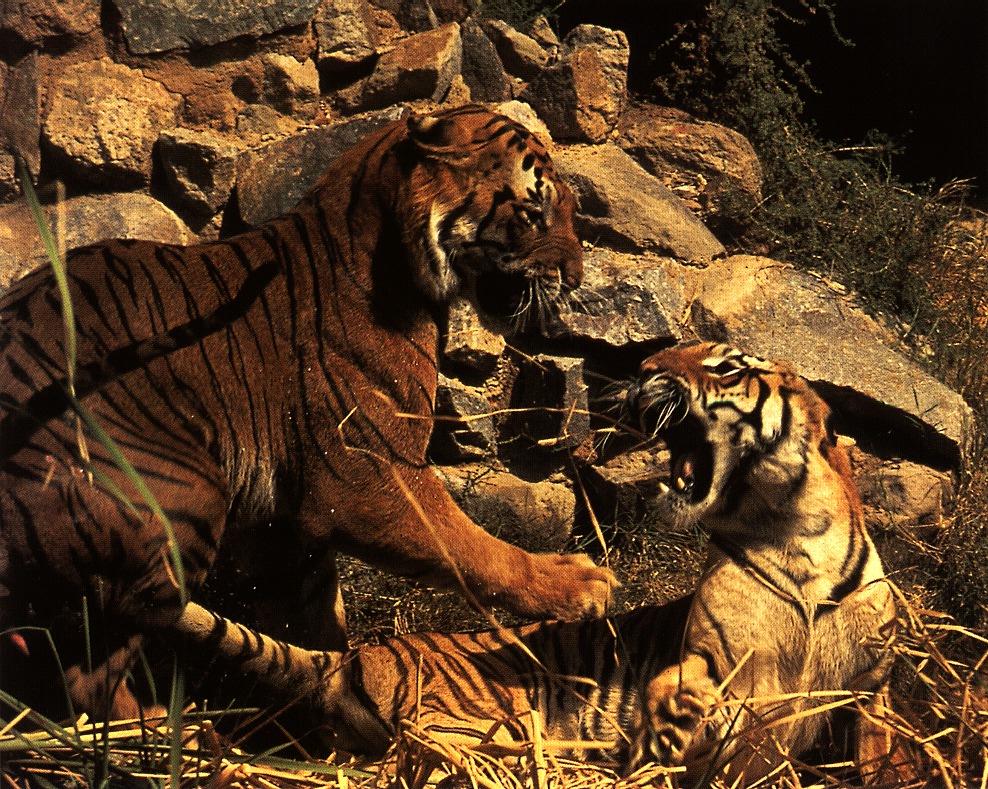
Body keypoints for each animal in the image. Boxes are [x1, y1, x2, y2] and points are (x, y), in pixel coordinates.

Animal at [0, 105, 616, 735]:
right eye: (535, 212)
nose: (575, 277)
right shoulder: (370, 476)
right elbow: (472, 547)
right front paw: (580, 583)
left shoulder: (288, 521)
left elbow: (316, 609)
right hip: (184, 497)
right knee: (93, 669)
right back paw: (173, 731)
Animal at [183, 341, 901, 781]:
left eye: (726, 366)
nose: (643, 365)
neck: (790, 535)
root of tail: (364, 653)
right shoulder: (717, 665)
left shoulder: (872, 686)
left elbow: (881, 749)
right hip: (474, 725)